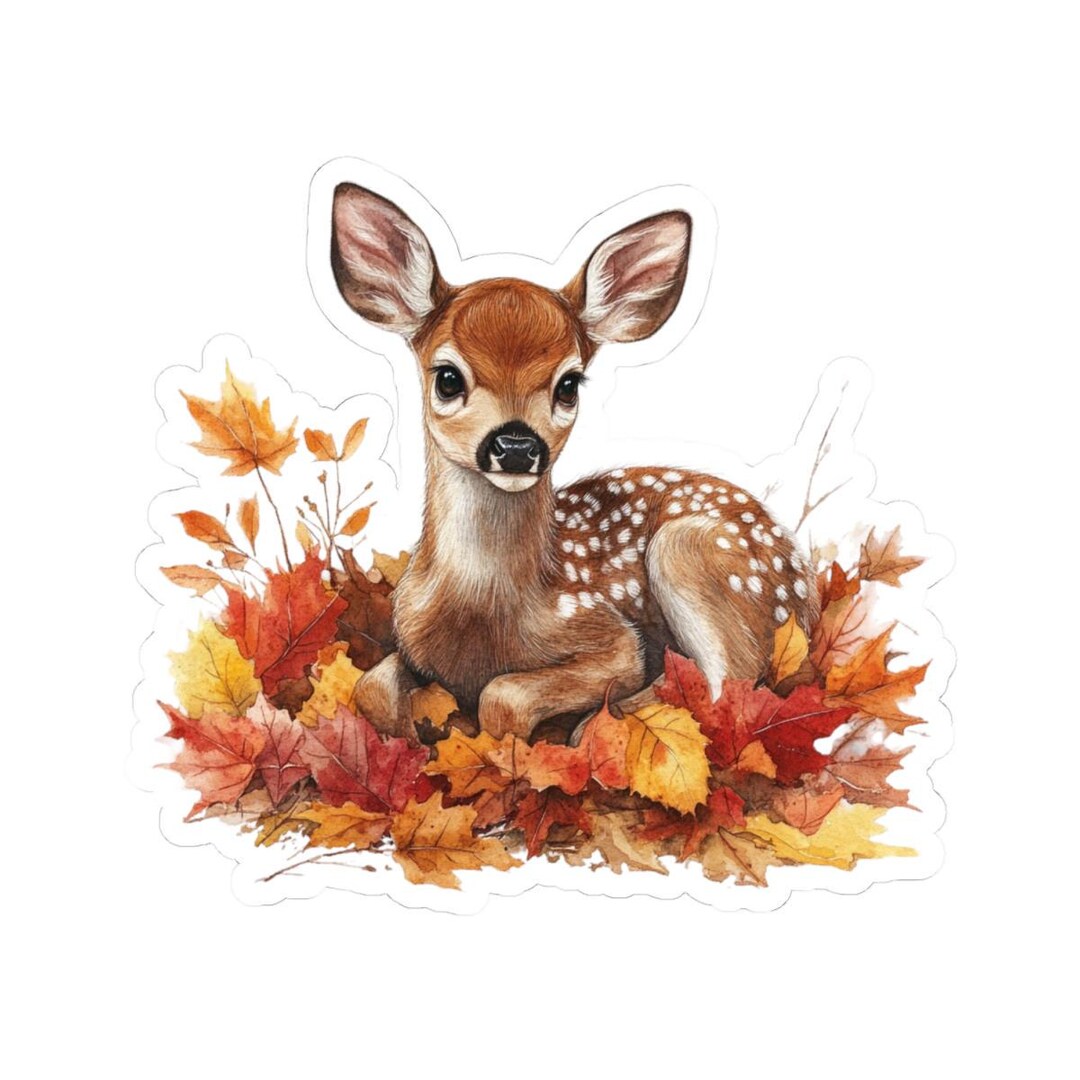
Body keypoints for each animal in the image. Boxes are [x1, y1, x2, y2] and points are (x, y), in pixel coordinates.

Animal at [330, 183, 819, 745]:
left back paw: (600, 726)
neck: (484, 614)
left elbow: (503, 698)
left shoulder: (610, 635)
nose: (517, 446)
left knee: (730, 678)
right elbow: (370, 688)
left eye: (569, 384)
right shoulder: (410, 639)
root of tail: (804, 588)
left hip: (693, 551)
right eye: (448, 378)